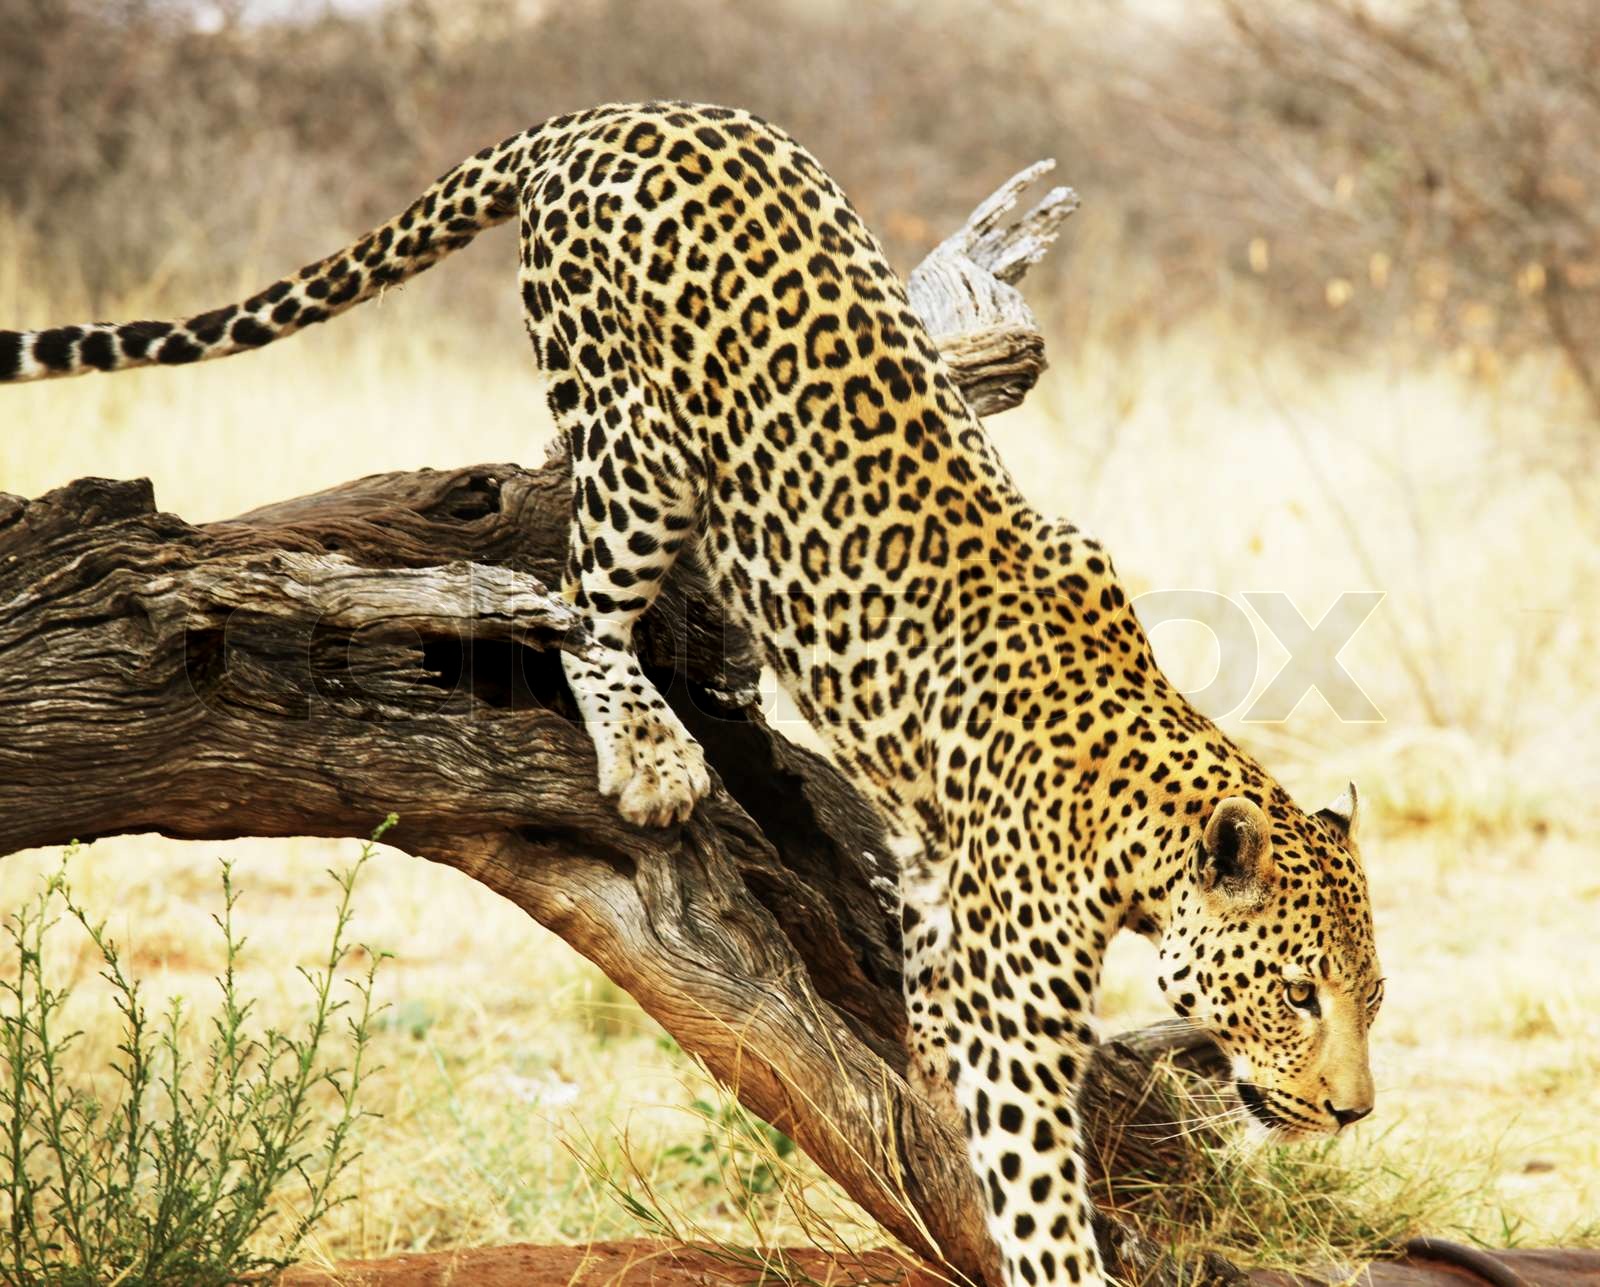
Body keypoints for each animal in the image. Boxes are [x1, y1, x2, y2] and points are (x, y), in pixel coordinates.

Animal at [1, 101, 1383, 1287]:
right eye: (1299, 993)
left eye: (1367, 1001)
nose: (1352, 1107)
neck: (1136, 811)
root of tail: (606, 112)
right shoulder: (1014, 1001)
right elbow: (1035, 1187)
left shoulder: (945, 897)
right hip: (635, 442)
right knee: (576, 598)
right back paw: (651, 752)